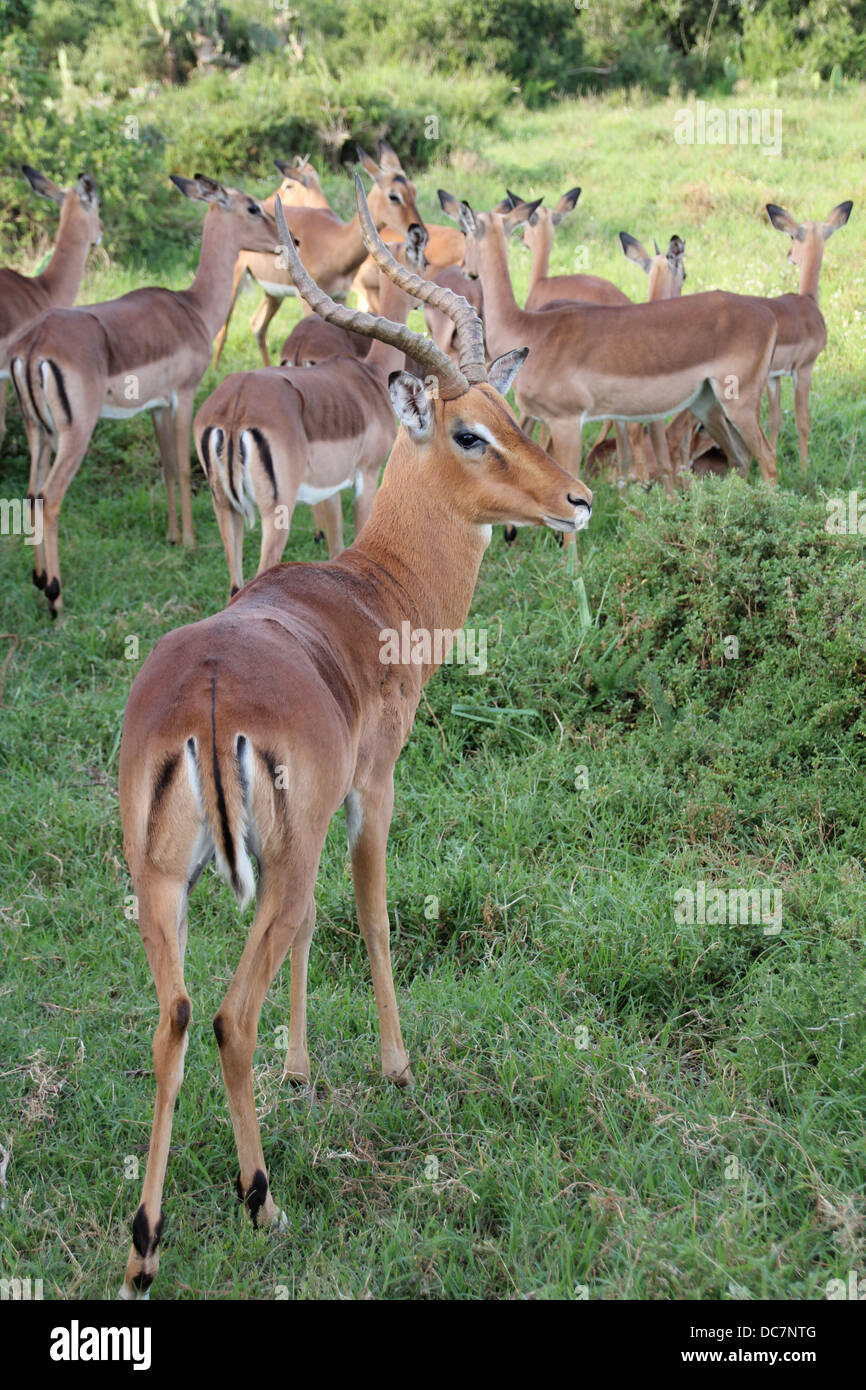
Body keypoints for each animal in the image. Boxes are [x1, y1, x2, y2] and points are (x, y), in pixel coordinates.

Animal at [9, 175, 279, 616]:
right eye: (253, 207)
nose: (290, 241)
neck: (192, 306)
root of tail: (33, 344)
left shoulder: (156, 407)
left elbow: (167, 465)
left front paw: (172, 536)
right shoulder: (184, 396)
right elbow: (184, 467)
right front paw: (189, 542)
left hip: (38, 432)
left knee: (31, 494)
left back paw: (37, 579)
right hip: (74, 434)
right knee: (50, 496)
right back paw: (55, 597)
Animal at [194, 224, 428, 590]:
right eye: (423, 262)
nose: (420, 302)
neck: (371, 374)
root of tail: (234, 408)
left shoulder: (327, 490)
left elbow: (336, 547)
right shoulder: (367, 475)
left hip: (225, 508)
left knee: (234, 586)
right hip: (276, 512)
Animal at [213, 140, 427, 367]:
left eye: (414, 190)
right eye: (394, 195)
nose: (420, 230)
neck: (335, 243)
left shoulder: (341, 295)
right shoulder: (306, 300)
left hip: (272, 294)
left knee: (257, 325)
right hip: (236, 279)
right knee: (223, 330)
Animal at [440, 189, 779, 504]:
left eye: (465, 231)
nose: (466, 269)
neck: (529, 328)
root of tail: (767, 313)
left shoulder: (566, 422)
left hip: (738, 402)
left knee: (767, 457)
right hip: (706, 403)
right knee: (740, 456)